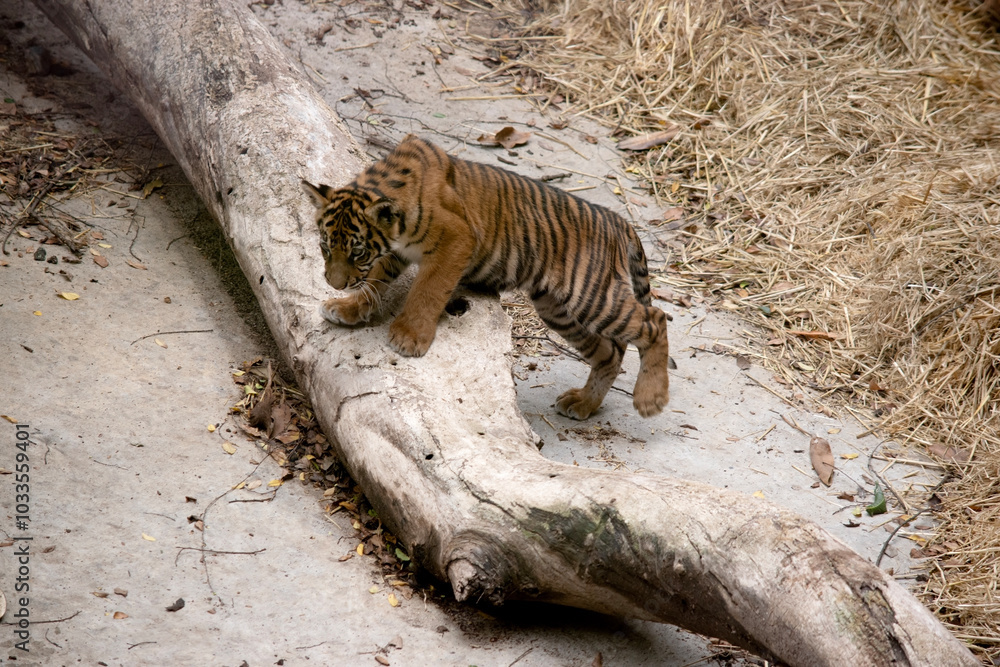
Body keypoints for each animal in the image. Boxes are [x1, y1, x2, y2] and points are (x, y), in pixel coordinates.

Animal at [302, 134, 671, 420]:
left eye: (357, 252)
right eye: (325, 247)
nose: (334, 283)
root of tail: (619, 222)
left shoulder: (456, 238)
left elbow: (427, 289)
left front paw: (409, 336)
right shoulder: (394, 251)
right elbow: (376, 280)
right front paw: (349, 307)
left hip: (589, 296)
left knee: (655, 319)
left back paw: (650, 398)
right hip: (557, 309)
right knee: (610, 353)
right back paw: (582, 404)